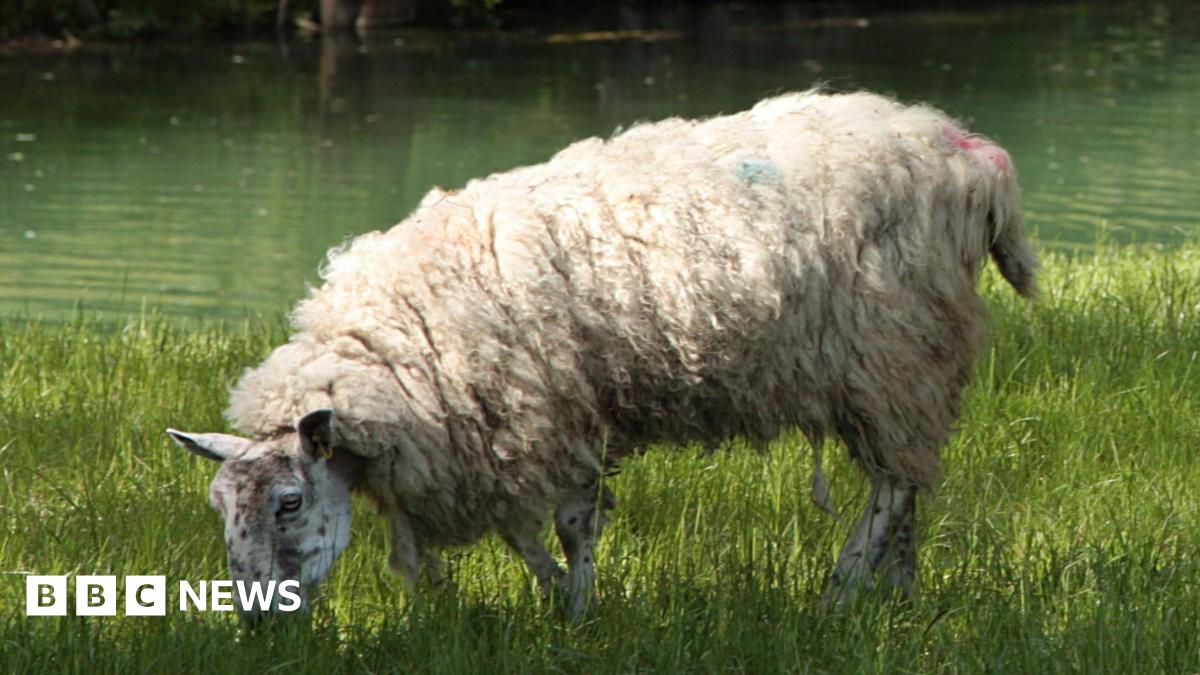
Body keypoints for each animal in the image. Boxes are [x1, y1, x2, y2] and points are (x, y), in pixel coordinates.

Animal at [167, 89, 1037, 620]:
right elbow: (523, 532)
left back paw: (842, 591)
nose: (256, 624)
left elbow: (568, 524)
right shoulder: (516, 424)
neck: (398, 350)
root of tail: (967, 149)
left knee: (893, 487)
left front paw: (578, 610)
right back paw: (898, 593)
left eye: (288, 502)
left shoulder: (557, 406)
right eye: (220, 507)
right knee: (909, 482)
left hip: (892, 346)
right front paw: (557, 598)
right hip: (903, 362)